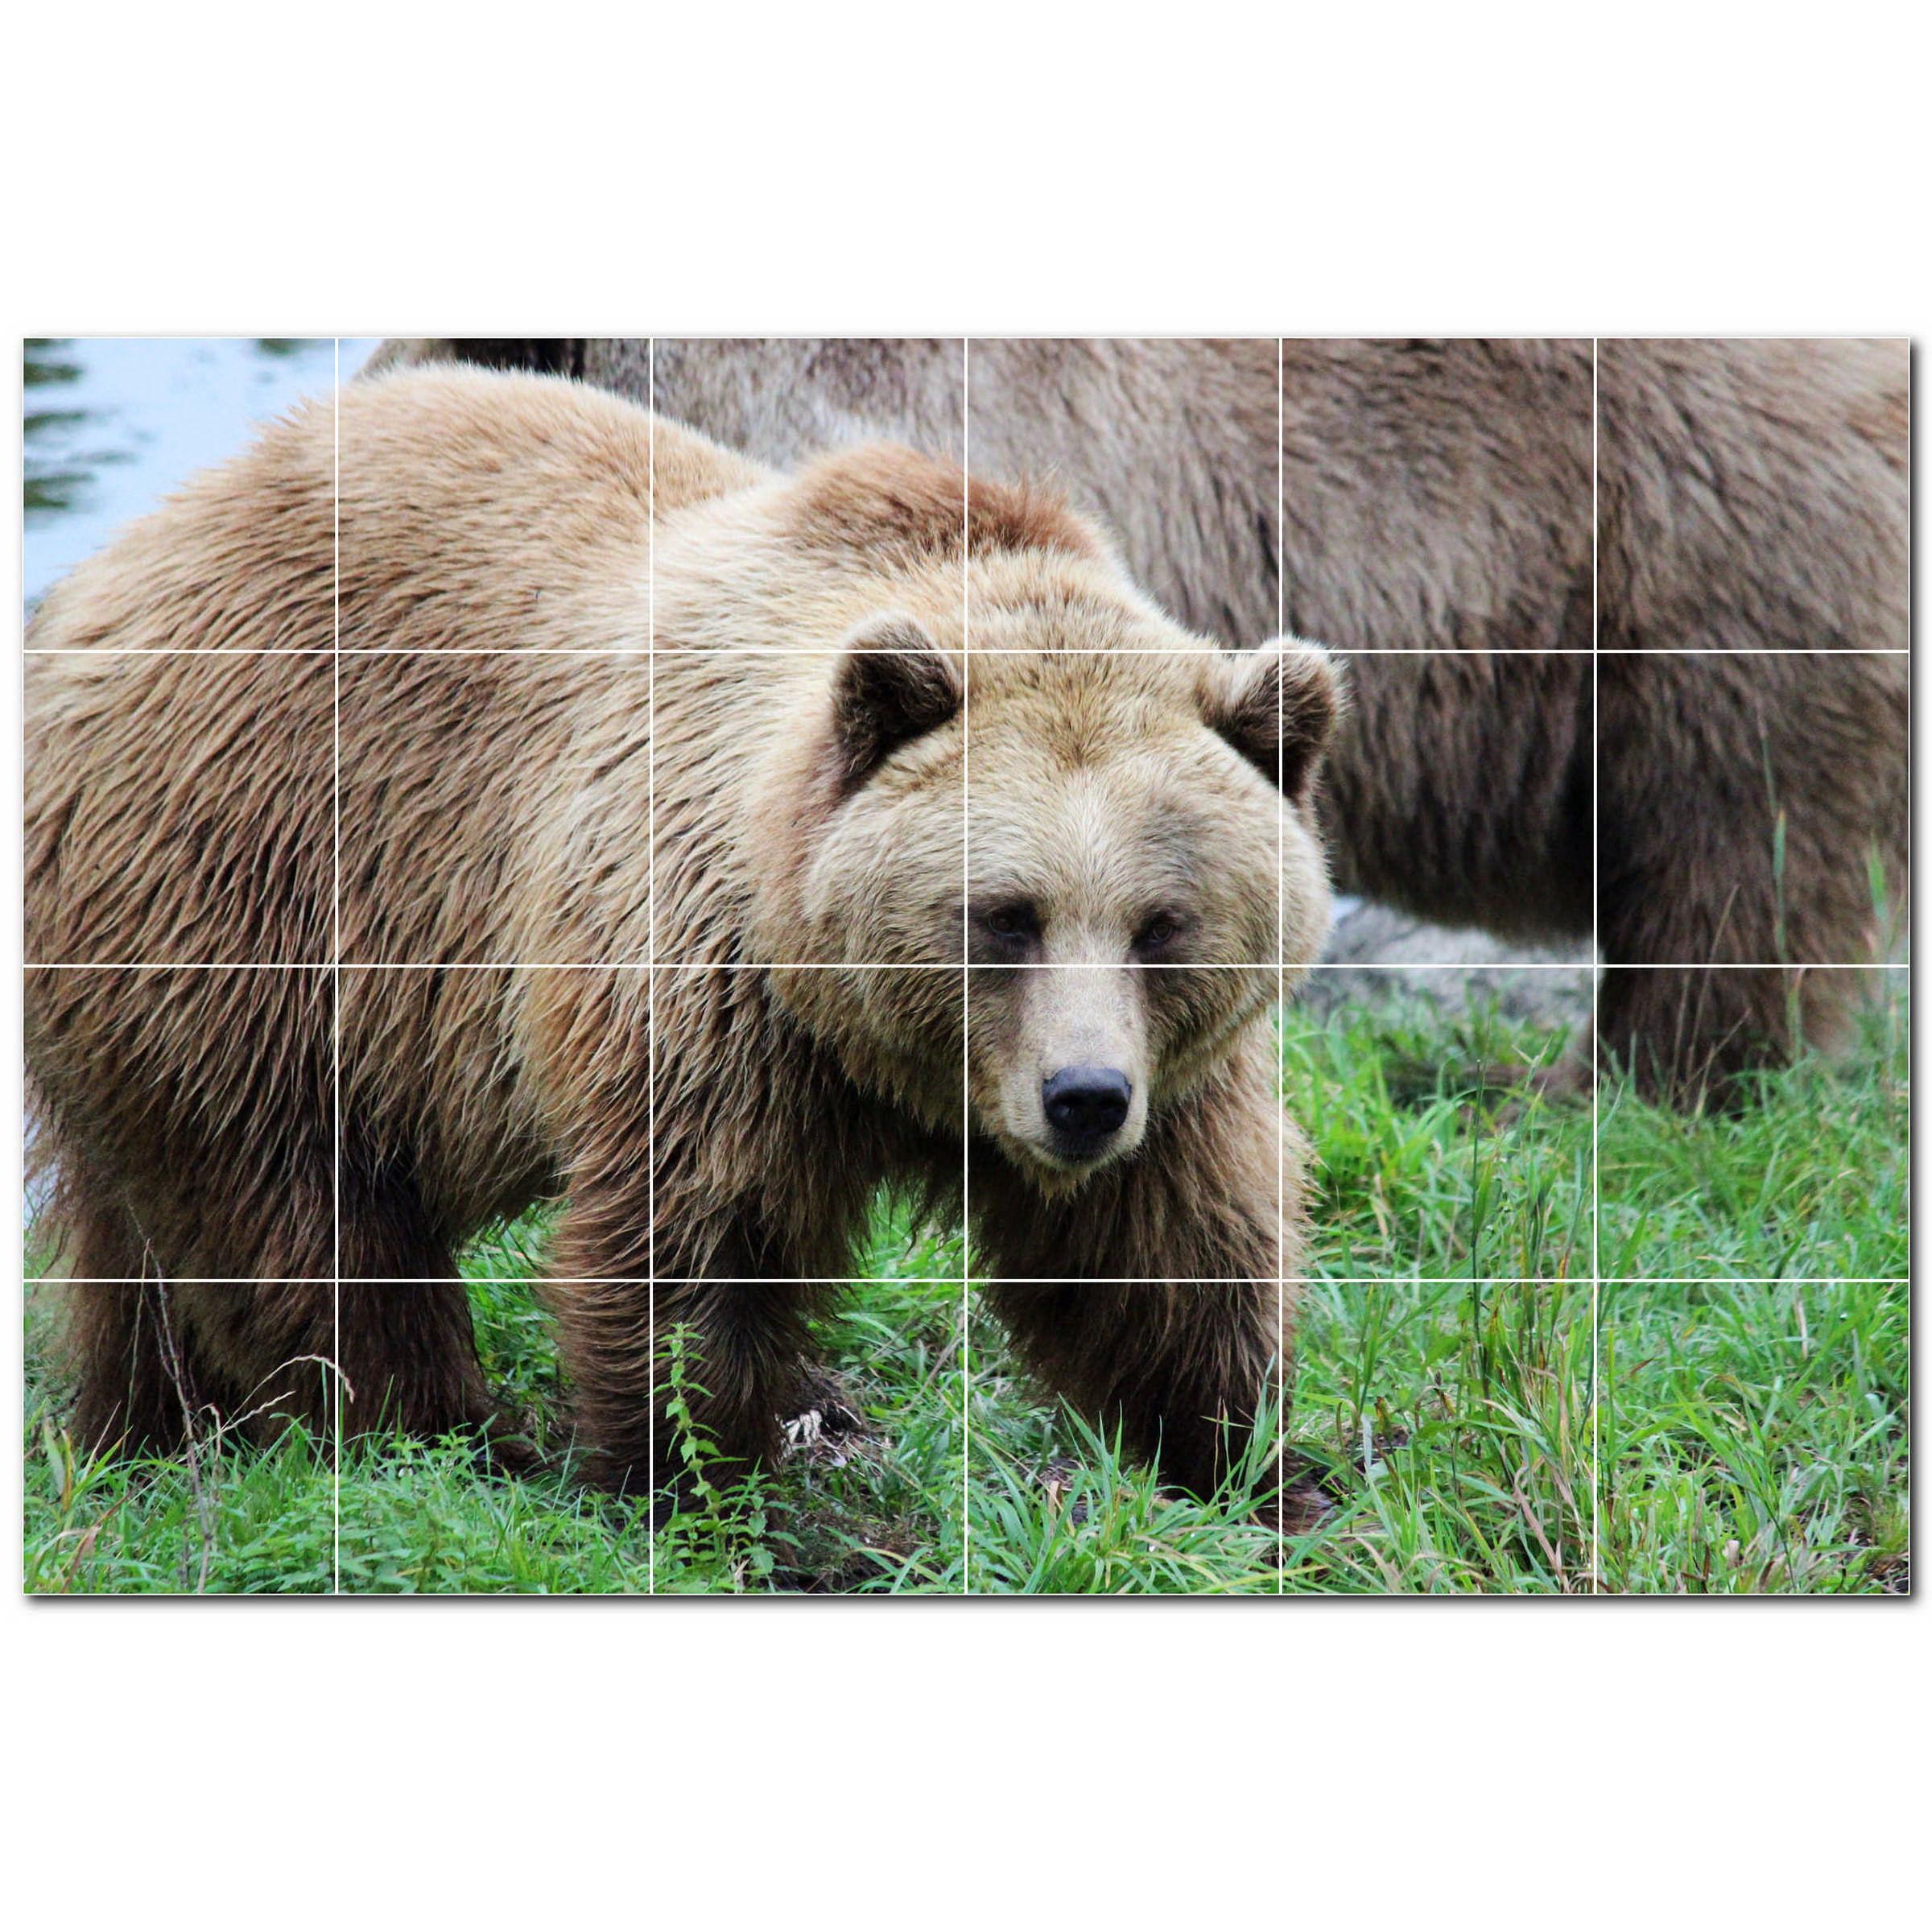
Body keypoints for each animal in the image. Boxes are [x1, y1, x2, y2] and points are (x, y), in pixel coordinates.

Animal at [25, 364, 1338, 1515]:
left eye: (1163, 924)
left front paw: (1254, 1463)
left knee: (149, 1249)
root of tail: (113, 566)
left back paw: (147, 1426)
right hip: (251, 882)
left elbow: (1173, 1254)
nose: (1083, 1098)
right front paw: (693, 1475)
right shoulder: (709, 978)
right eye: (1003, 914)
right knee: (304, 1213)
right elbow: (698, 1237)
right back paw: (444, 1429)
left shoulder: (1175, 1074)